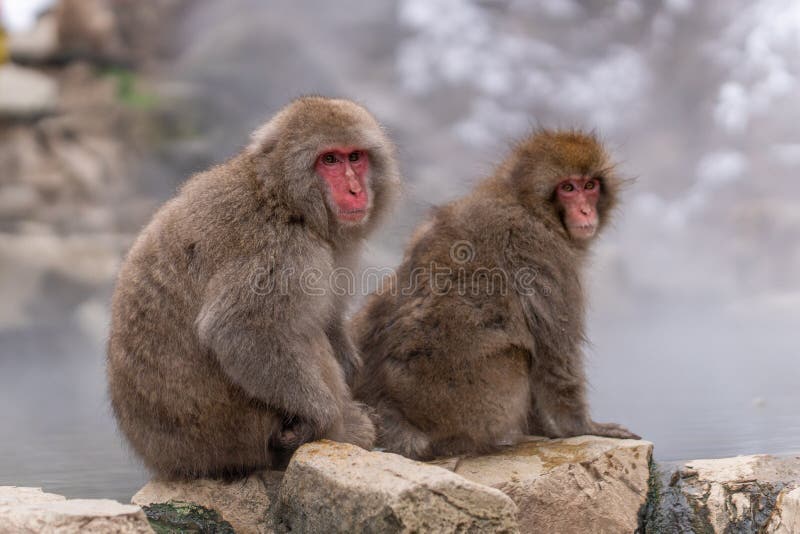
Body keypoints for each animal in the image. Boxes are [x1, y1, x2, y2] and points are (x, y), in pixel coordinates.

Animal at [107, 96, 401, 479]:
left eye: (355, 157)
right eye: (329, 160)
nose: (355, 190)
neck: (284, 197)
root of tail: (164, 458)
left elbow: (327, 315)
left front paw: (349, 360)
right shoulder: (279, 249)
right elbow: (239, 330)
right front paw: (325, 418)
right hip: (230, 428)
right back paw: (344, 430)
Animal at [352, 129, 639, 460]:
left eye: (590, 186)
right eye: (568, 188)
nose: (584, 211)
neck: (525, 203)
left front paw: (544, 427)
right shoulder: (545, 251)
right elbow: (555, 352)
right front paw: (581, 426)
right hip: (470, 401)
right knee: (517, 358)